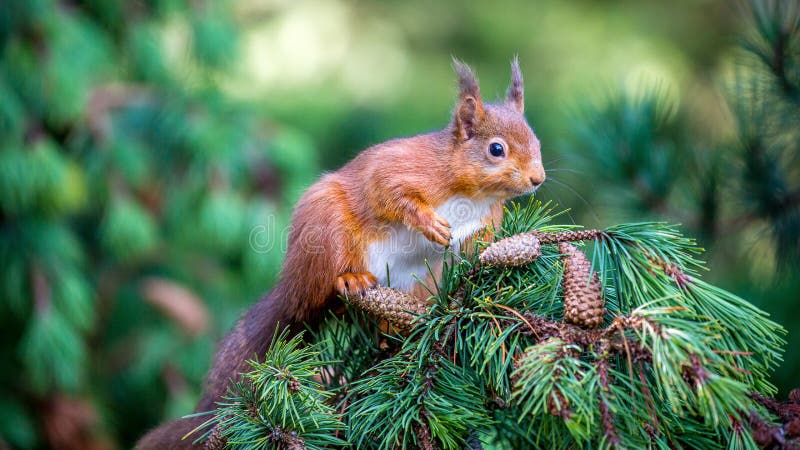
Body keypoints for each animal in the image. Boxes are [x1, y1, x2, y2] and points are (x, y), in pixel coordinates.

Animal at [136, 58, 544, 449]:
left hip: (424, 279)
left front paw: (493, 253)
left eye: (537, 142)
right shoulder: (402, 168)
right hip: (327, 232)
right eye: (496, 149)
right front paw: (428, 222)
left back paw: (398, 326)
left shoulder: (485, 221)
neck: (473, 194)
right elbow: (390, 193)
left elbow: (482, 242)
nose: (537, 179)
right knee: (329, 285)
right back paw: (352, 280)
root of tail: (293, 290)